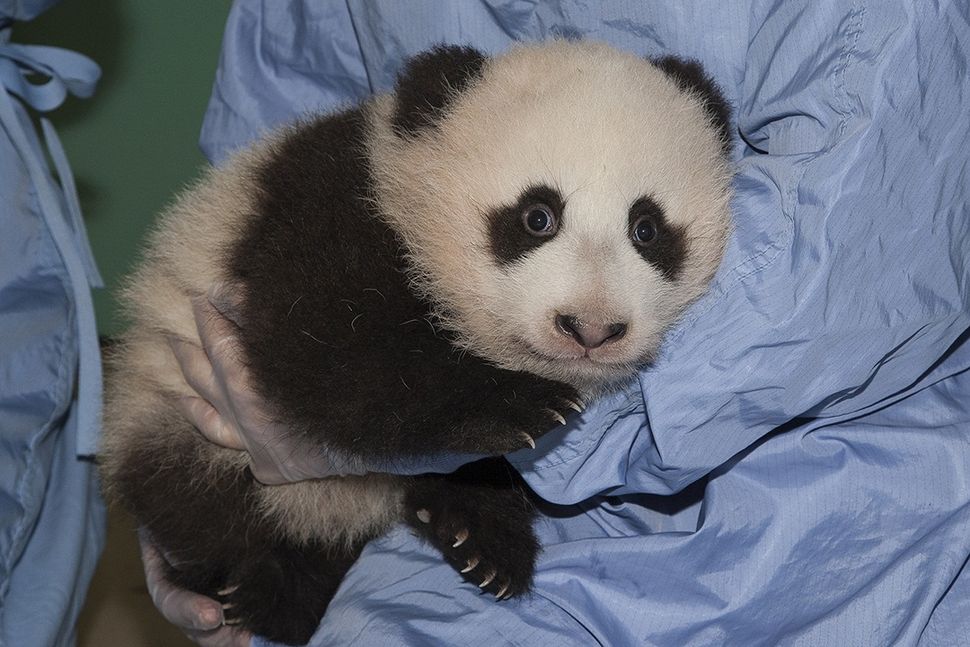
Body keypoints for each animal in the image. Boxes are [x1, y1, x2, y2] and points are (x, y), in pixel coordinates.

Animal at [100, 40, 733, 645]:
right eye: (537, 216)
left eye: (646, 229)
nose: (592, 329)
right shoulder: (326, 212)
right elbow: (327, 356)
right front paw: (523, 406)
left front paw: (487, 524)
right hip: (168, 405)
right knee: (200, 511)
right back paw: (266, 590)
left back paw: (466, 537)